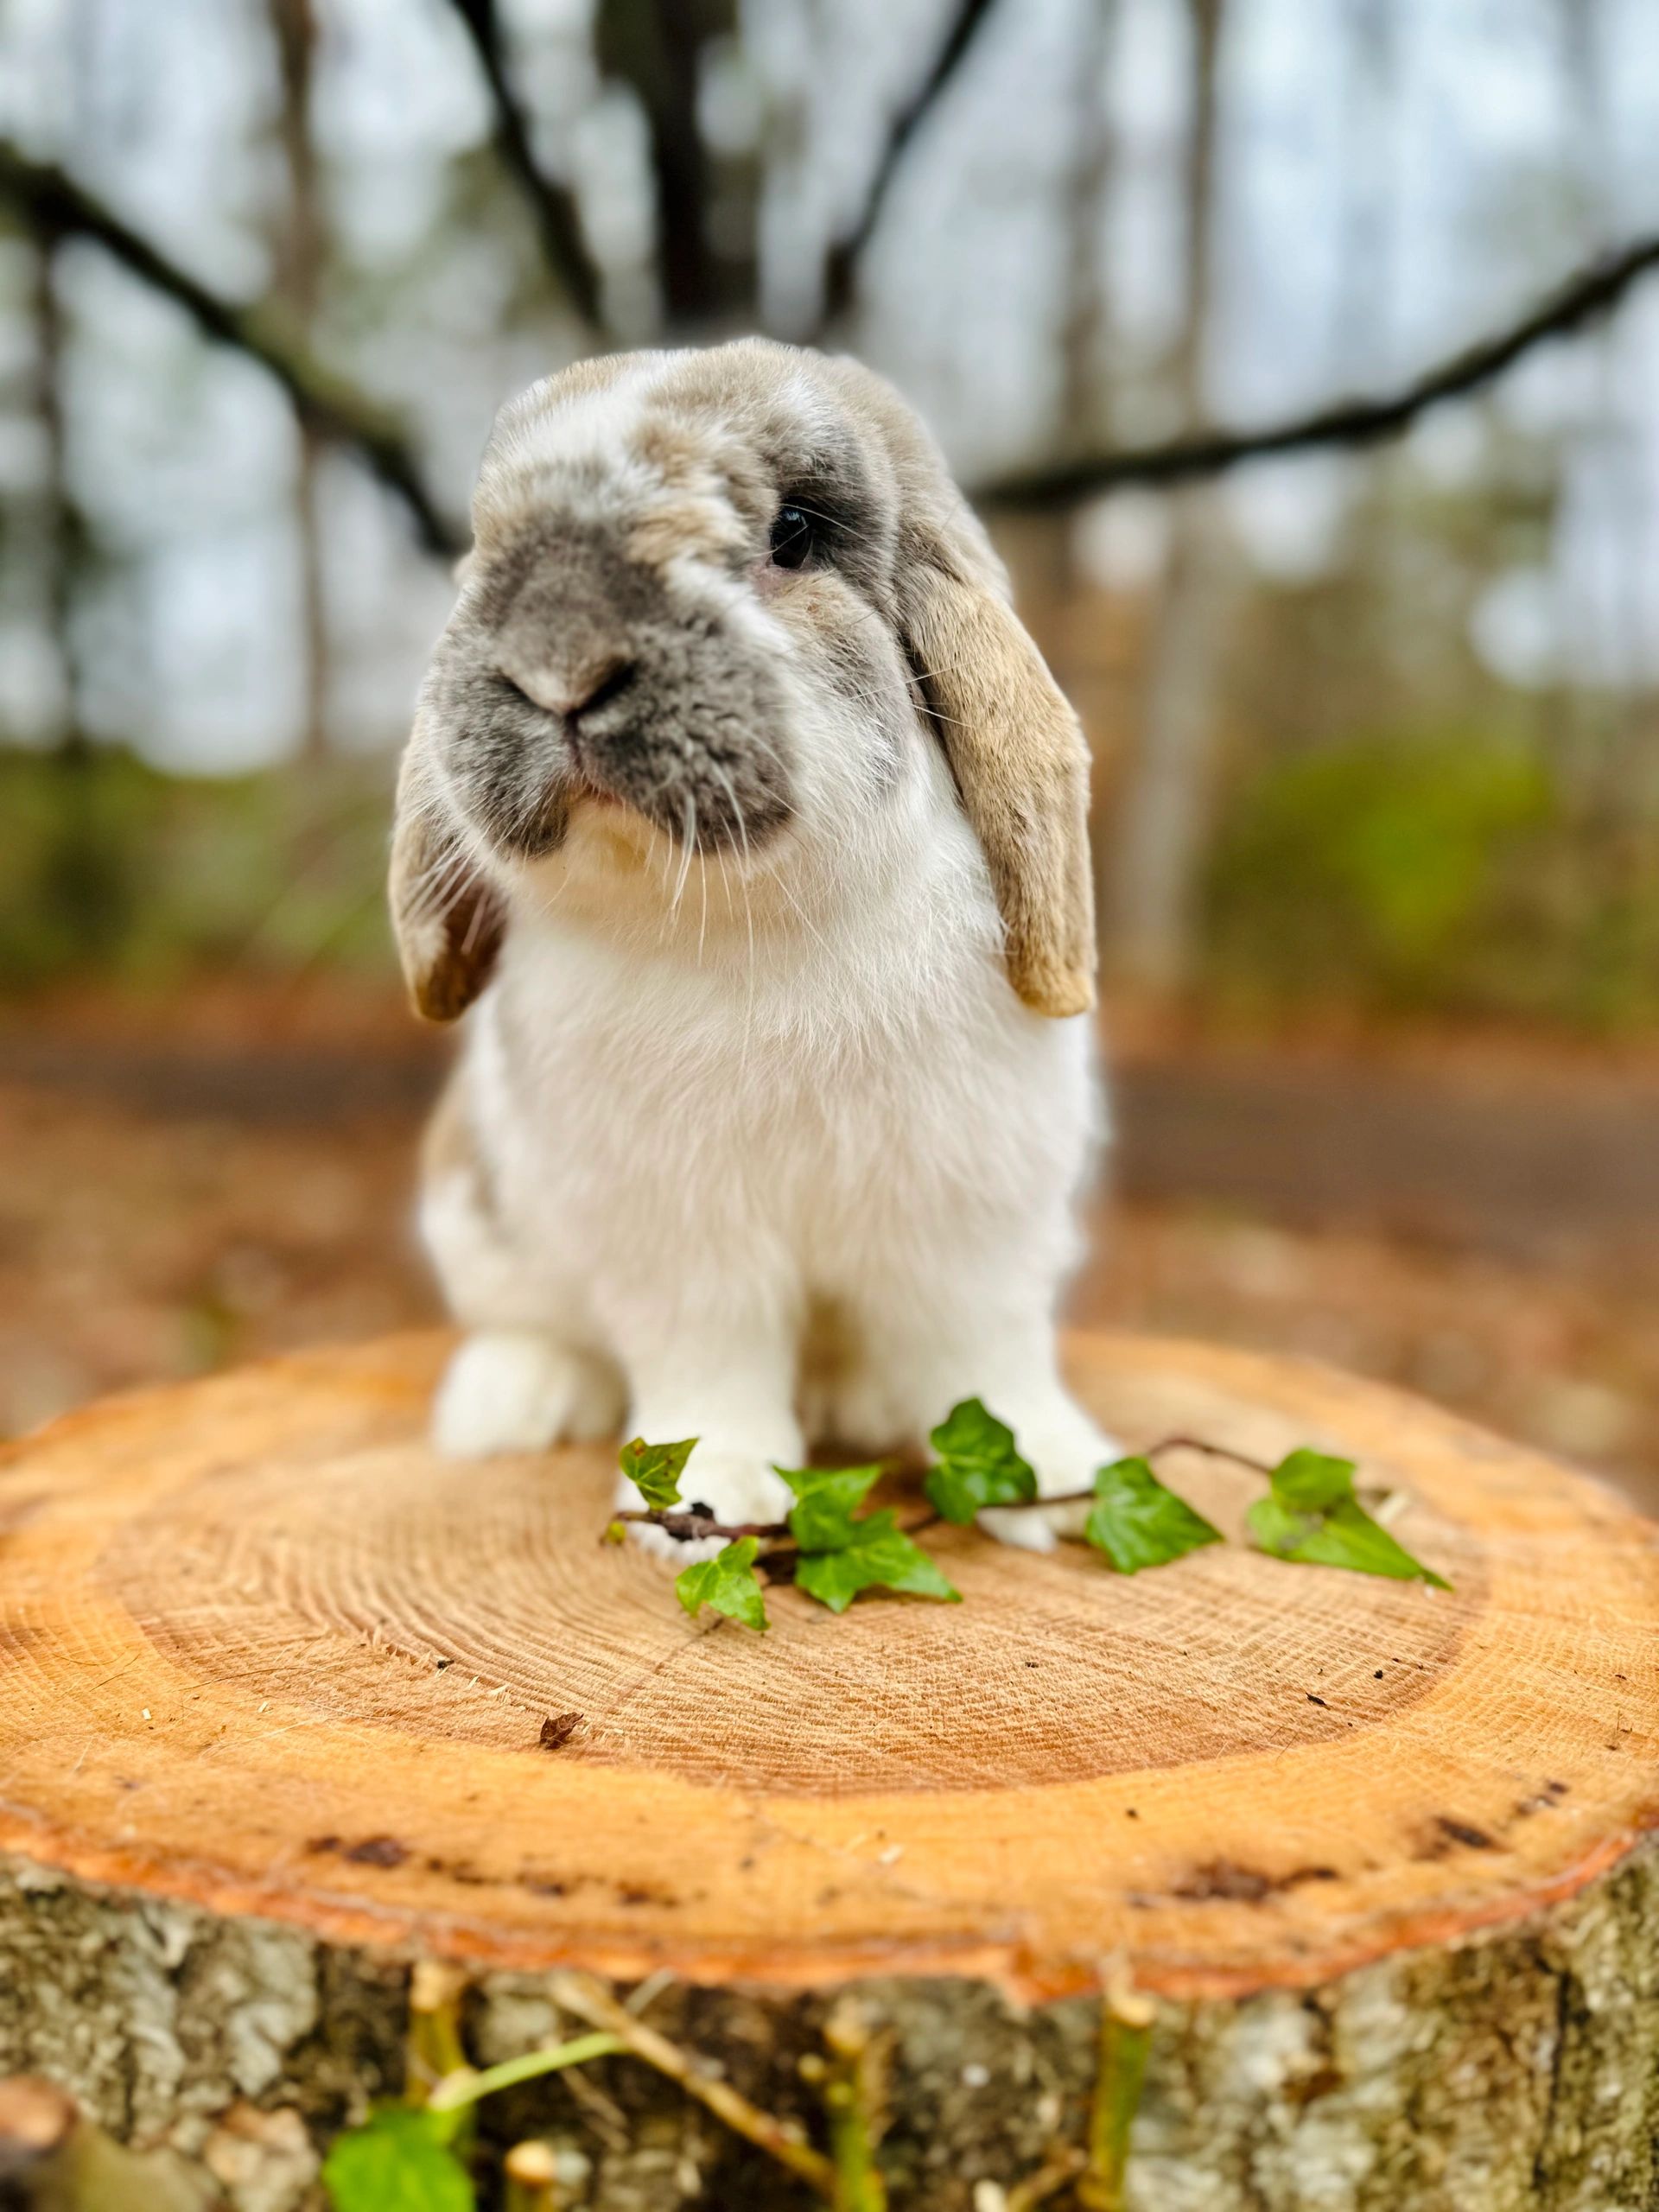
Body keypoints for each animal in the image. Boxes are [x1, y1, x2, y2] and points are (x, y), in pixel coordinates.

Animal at [389, 339, 1117, 1556]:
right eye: (488, 533)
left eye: (796, 531)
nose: (557, 660)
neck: (744, 924)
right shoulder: (678, 1238)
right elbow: (709, 1369)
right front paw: (711, 1496)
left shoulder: (973, 1216)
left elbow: (986, 1355)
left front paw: (1053, 1483)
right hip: (477, 1219)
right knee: (529, 1326)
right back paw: (510, 1406)